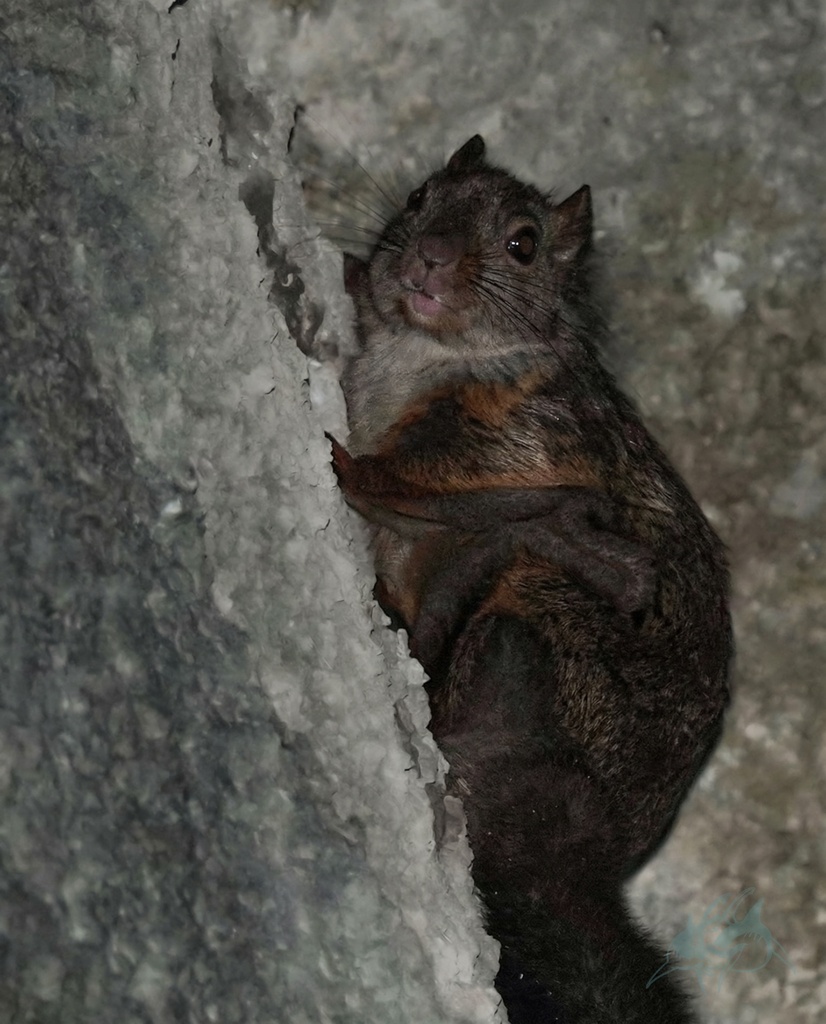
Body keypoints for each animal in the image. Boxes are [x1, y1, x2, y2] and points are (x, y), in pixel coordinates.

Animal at [327, 135, 732, 1023]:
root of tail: (575, 850)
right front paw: (353, 276)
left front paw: (351, 466)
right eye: (419, 197)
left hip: (542, 625)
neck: (422, 354)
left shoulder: (530, 442)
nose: (431, 256)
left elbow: (424, 480)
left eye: (523, 244)